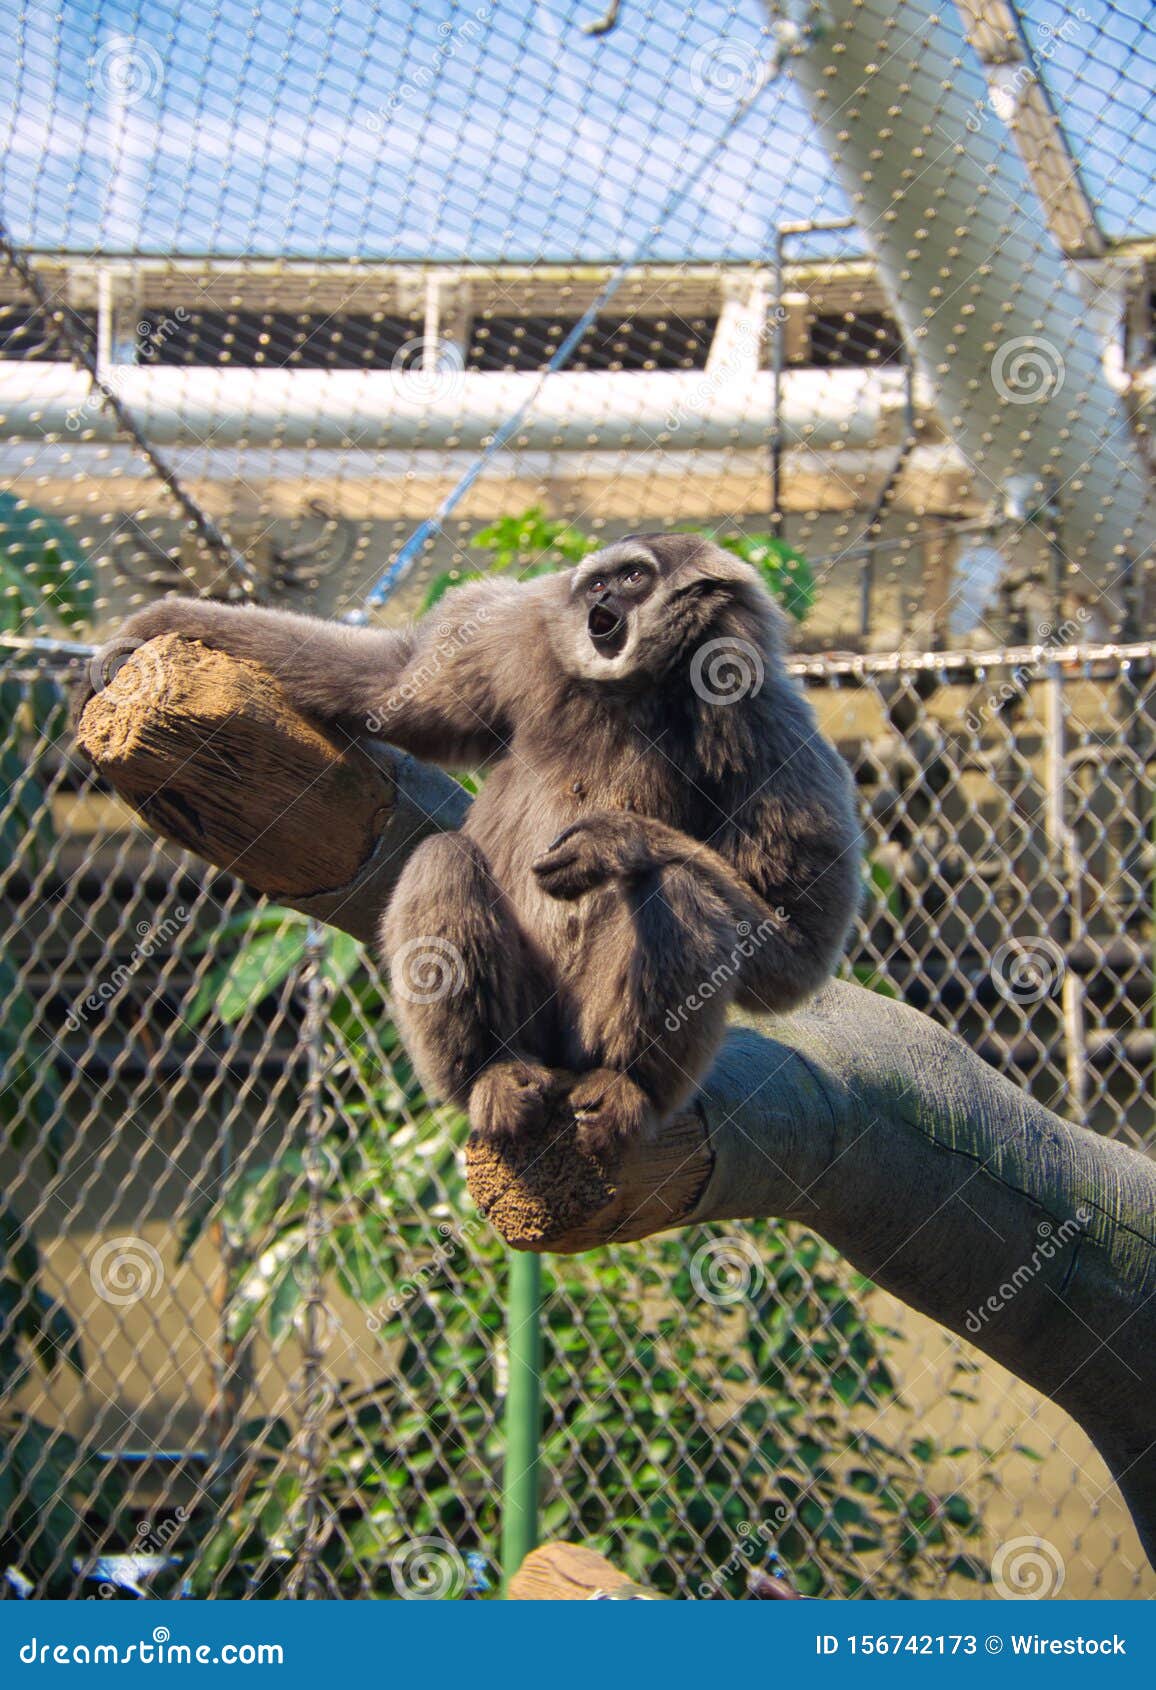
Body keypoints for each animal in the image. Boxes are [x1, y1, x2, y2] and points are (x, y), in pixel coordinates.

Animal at [83, 534, 861, 1155]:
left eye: (635, 576)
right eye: (598, 582)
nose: (602, 596)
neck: (634, 689)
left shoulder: (769, 722)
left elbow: (795, 954)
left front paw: (615, 838)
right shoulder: (509, 635)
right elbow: (390, 685)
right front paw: (149, 627)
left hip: (581, 1031)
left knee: (679, 884)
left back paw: (626, 1085)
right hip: (530, 1022)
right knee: (444, 858)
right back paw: (491, 1073)